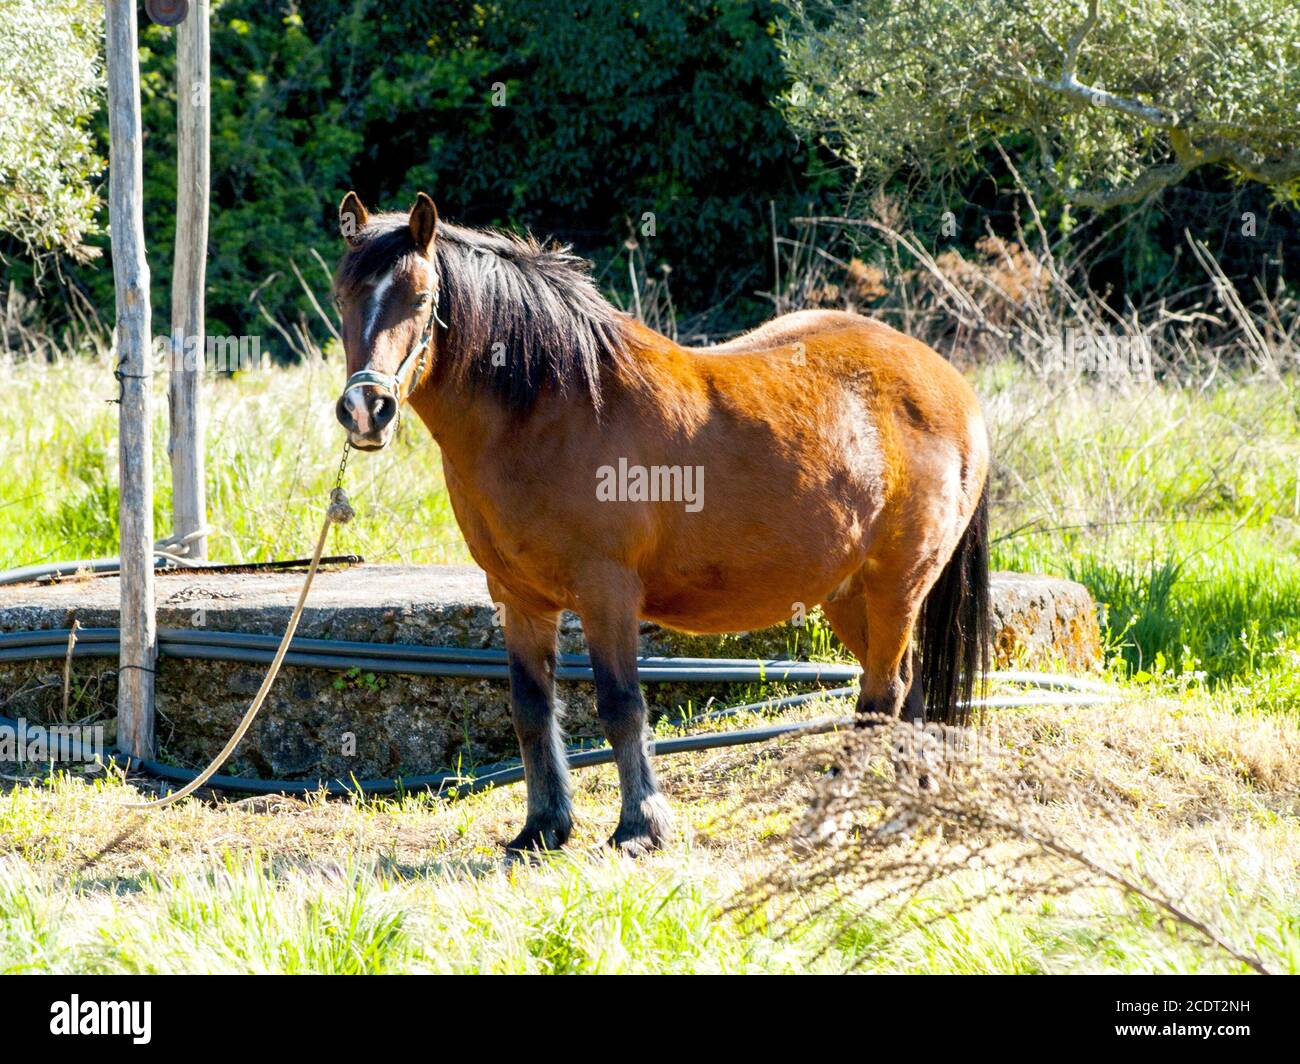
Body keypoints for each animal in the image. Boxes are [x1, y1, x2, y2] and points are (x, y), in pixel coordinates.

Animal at [332, 191, 990, 855]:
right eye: (341, 298)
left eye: (420, 298)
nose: (366, 409)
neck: (551, 409)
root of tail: (949, 381)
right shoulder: (517, 598)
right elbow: (531, 709)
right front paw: (543, 827)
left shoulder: (606, 592)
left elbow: (621, 706)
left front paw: (639, 826)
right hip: (850, 595)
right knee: (906, 688)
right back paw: (910, 808)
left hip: (896, 586)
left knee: (881, 694)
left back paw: (829, 814)